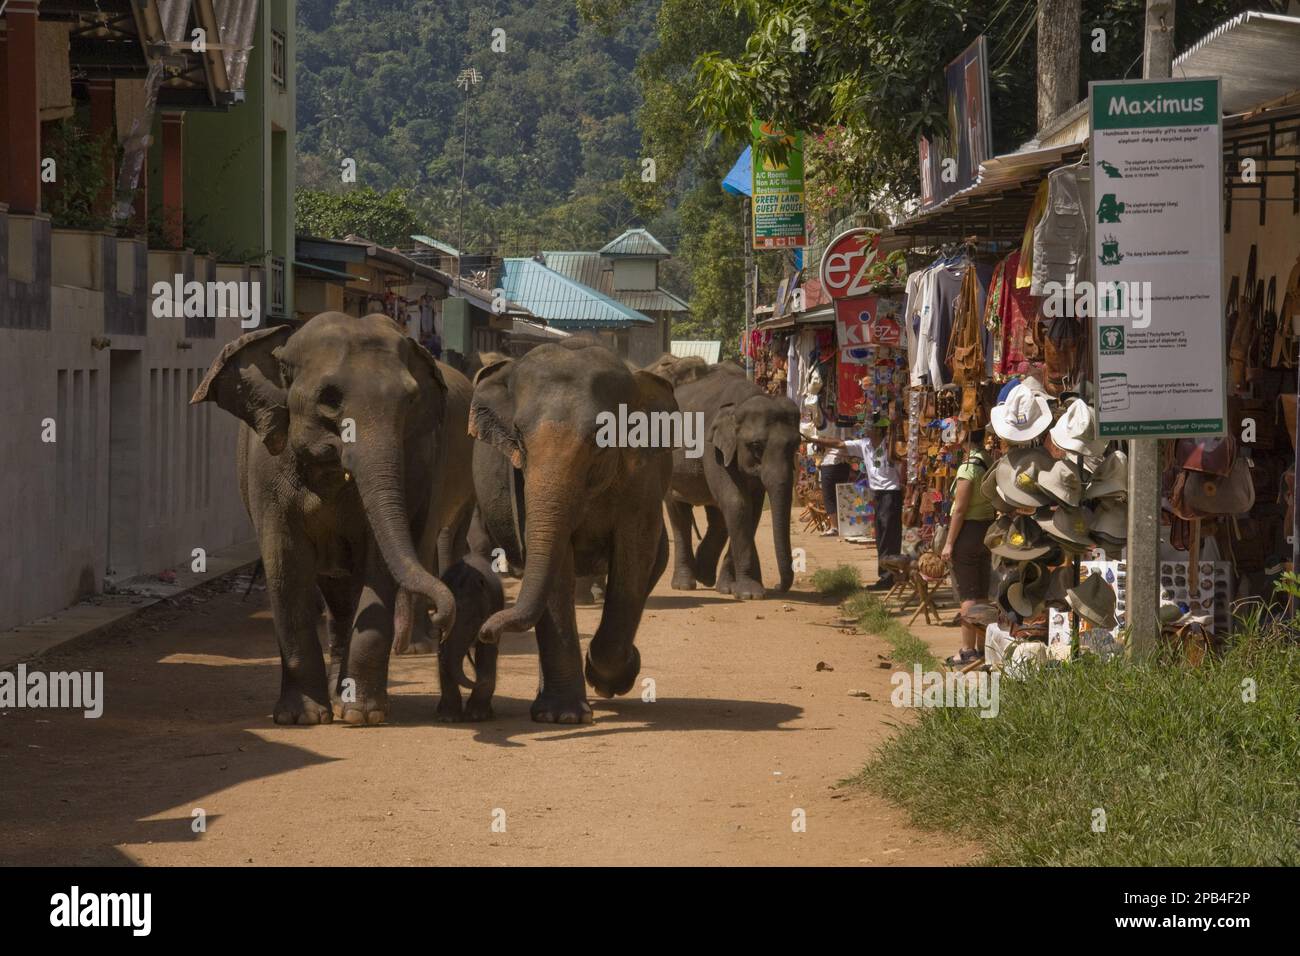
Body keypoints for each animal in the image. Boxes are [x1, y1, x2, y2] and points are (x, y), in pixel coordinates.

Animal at [191, 311, 474, 725]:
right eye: (328, 399)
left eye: (410, 401)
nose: (444, 618)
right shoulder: (266, 472)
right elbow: (286, 562)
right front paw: (301, 718)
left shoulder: (416, 461)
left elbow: (379, 565)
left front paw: (364, 715)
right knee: (337, 593)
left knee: (350, 590)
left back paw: (345, 698)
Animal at [467, 338, 676, 723]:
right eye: (518, 437)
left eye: (601, 436)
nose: (485, 632)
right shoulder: (521, 480)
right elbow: (555, 563)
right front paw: (561, 717)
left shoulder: (643, 475)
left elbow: (634, 556)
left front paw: (608, 679)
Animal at [661, 358, 801, 600]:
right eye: (756, 446)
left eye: (795, 445)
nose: (777, 587)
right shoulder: (713, 449)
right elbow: (737, 503)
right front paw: (750, 593)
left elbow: (751, 509)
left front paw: (730, 588)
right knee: (679, 515)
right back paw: (685, 584)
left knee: (717, 517)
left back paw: (705, 575)